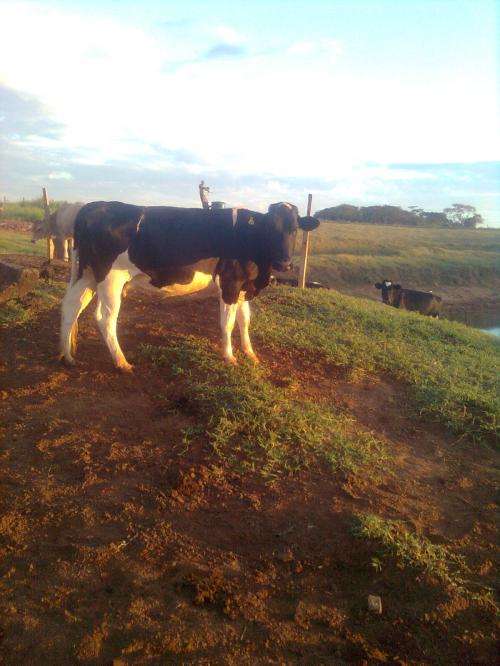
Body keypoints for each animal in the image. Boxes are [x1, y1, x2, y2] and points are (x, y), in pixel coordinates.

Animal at [60, 201, 320, 371]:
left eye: (294, 229)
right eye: (270, 229)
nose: (284, 263)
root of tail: (93, 206)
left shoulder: (245, 287)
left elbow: (245, 321)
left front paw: (250, 353)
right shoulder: (230, 282)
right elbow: (228, 323)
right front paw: (229, 357)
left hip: (87, 273)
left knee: (72, 306)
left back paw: (67, 356)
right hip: (111, 277)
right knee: (105, 318)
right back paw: (121, 362)